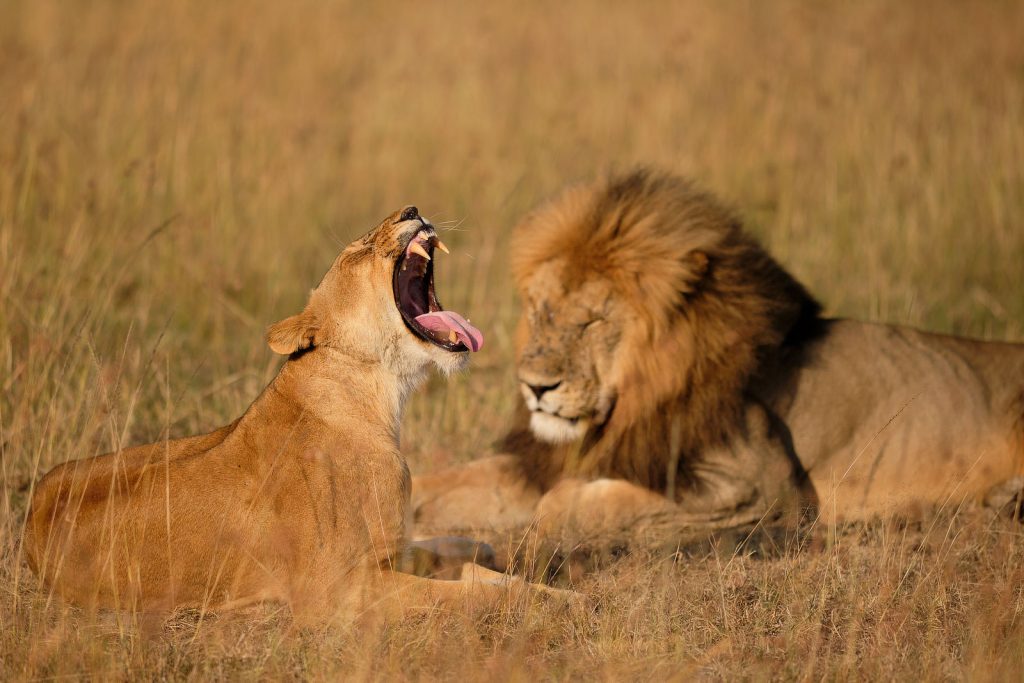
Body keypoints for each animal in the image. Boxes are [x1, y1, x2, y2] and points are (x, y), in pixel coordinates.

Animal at [24, 206, 552, 623]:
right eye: (358, 249)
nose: (411, 209)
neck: (379, 394)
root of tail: (30, 516)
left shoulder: (384, 555)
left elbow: (460, 565)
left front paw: (501, 562)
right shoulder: (336, 591)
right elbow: (468, 596)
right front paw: (553, 604)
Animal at [411, 170, 1024, 559]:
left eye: (593, 322)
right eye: (541, 310)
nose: (535, 387)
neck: (632, 403)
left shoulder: (764, 485)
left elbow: (570, 503)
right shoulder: (546, 460)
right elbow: (438, 482)